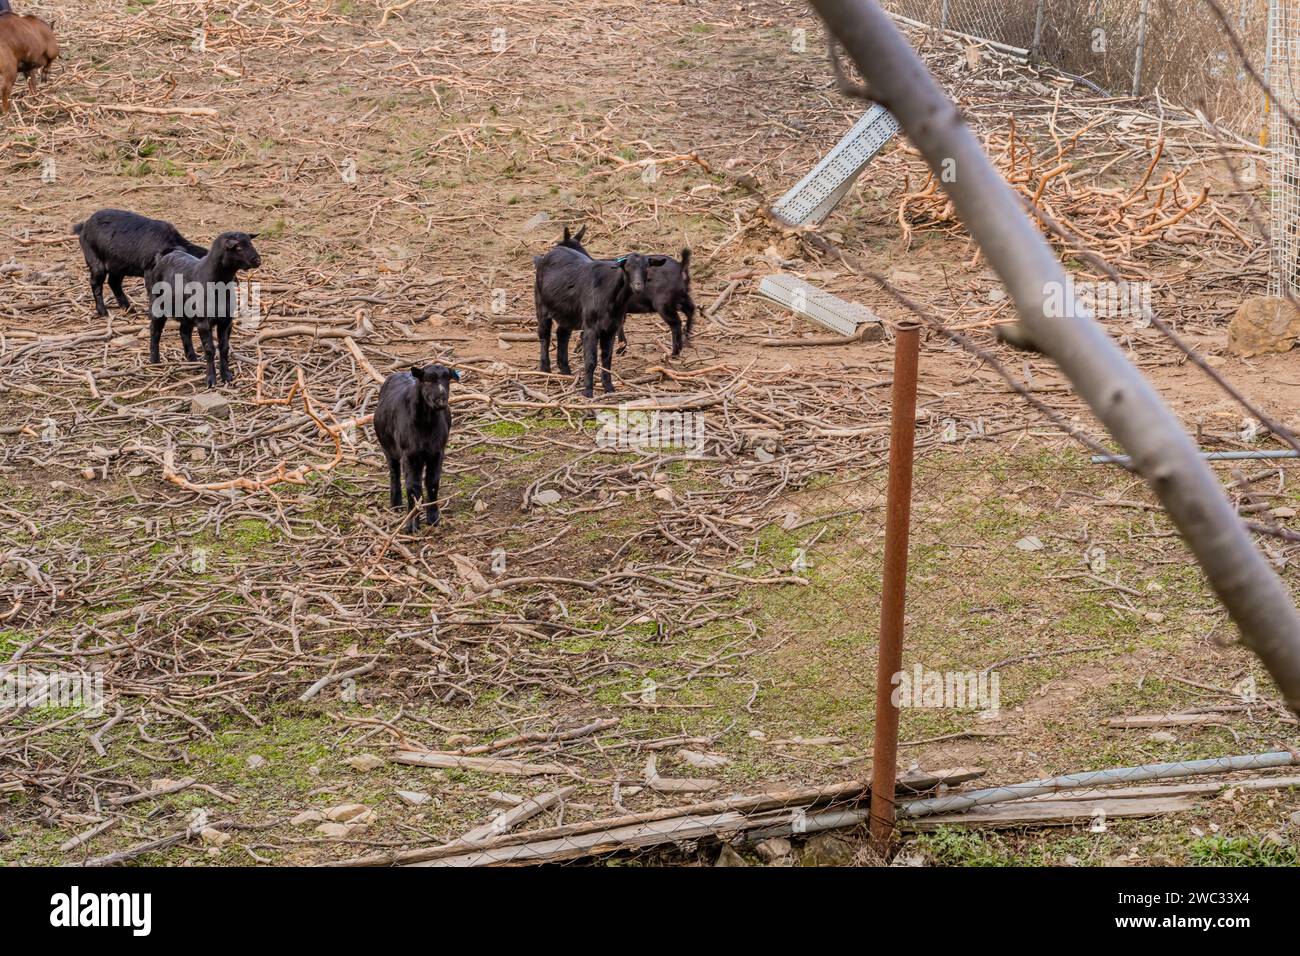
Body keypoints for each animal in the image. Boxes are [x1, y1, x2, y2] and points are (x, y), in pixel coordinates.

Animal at [73, 209, 209, 317]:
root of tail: (84, 226)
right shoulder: (149, 272)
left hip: (118, 266)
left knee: (113, 283)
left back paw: (129, 309)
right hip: (96, 262)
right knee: (96, 284)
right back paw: (104, 313)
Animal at [144, 232, 261, 387]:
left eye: (250, 242)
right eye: (238, 248)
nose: (258, 260)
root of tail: (165, 255)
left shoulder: (226, 321)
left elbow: (224, 348)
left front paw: (227, 376)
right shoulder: (203, 322)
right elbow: (210, 349)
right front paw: (211, 379)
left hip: (186, 312)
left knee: (184, 331)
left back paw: (192, 359)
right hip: (157, 304)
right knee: (155, 331)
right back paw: (155, 361)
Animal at [373, 364, 460, 532]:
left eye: (447, 380)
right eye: (427, 380)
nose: (441, 400)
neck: (425, 426)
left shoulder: (437, 452)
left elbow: (432, 482)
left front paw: (433, 518)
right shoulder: (409, 454)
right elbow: (412, 485)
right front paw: (412, 523)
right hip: (388, 448)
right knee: (394, 473)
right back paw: (396, 504)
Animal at [534, 240, 648, 397]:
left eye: (646, 267)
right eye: (628, 267)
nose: (638, 286)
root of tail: (543, 258)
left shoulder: (611, 328)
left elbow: (607, 358)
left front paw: (609, 387)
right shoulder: (590, 327)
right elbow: (590, 359)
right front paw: (587, 391)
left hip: (568, 313)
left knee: (562, 334)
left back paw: (566, 371)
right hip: (541, 306)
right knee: (544, 335)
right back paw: (545, 370)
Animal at [556, 227, 695, 358]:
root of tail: (682, 267)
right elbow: (619, 325)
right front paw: (621, 348)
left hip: (663, 303)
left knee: (676, 323)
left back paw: (675, 351)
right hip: (680, 297)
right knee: (691, 309)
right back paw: (687, 337)